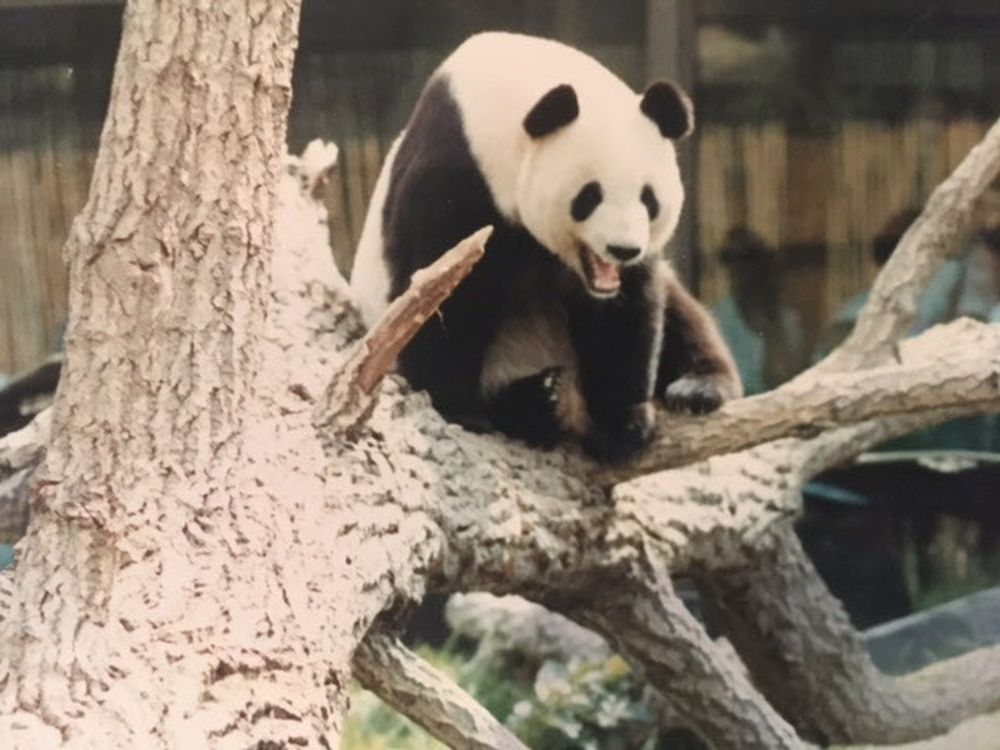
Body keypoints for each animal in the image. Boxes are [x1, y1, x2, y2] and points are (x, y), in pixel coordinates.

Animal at [351, 32, 741, 462]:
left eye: (648, 198)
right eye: (589, 196)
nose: (623, 249)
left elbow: (626, 313)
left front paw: (621, 427)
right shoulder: (454, 180)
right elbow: (441, 298)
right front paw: (459, 410)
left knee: (682, 315)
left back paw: (698, 388)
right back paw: (534, 400)